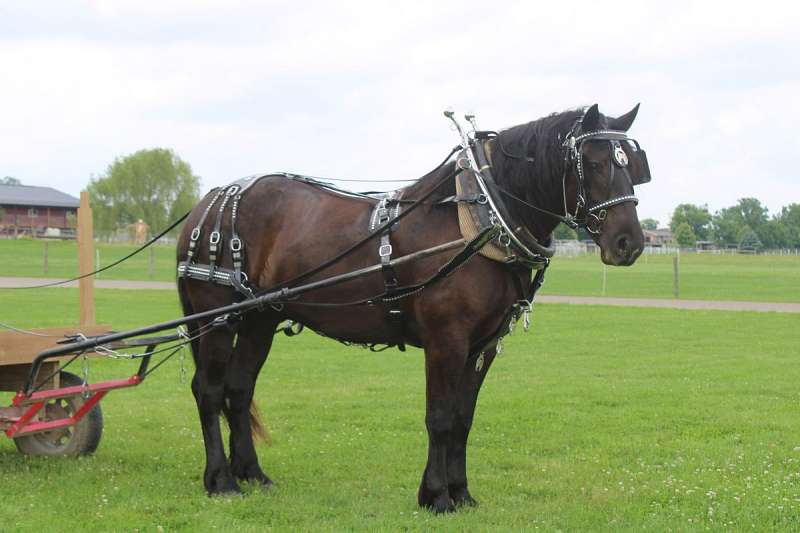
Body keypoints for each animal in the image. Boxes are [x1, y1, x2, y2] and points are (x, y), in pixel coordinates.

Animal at [176, 103, 649, 513]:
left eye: (633, 164)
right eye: (593, 163)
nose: (629, 242)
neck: (477, 220)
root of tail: (210, 202)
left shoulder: (482, 347)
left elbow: (462, 419)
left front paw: (461, 493)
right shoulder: (446, 340)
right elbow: (439, 417)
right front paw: (436, 496)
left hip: (260, 317)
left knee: (239, 389)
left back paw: (252, 473)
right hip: (216, 319)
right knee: (209, 390)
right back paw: (221, 480)